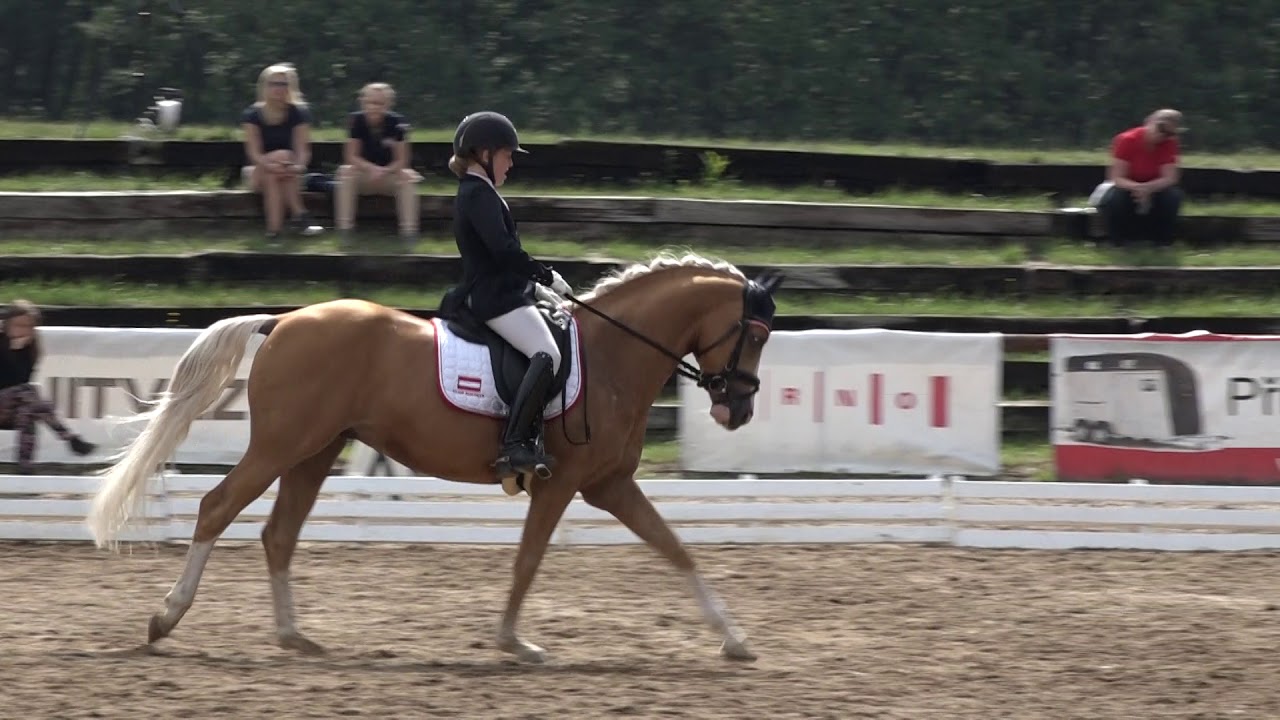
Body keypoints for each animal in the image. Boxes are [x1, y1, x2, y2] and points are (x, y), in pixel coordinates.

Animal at [84, 251, 782, 664]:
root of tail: (283, 321)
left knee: (278, 534)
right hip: (282, 445)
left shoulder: (609, 485)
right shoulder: (563, 485)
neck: (614, 355)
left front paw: (736, 639)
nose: (739, 410)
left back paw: (294, 636)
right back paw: (165, 618)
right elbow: (528, 561)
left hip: (314, 451)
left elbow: (677, 549)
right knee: (216, 507)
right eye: (752, 334)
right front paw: (514, 642)